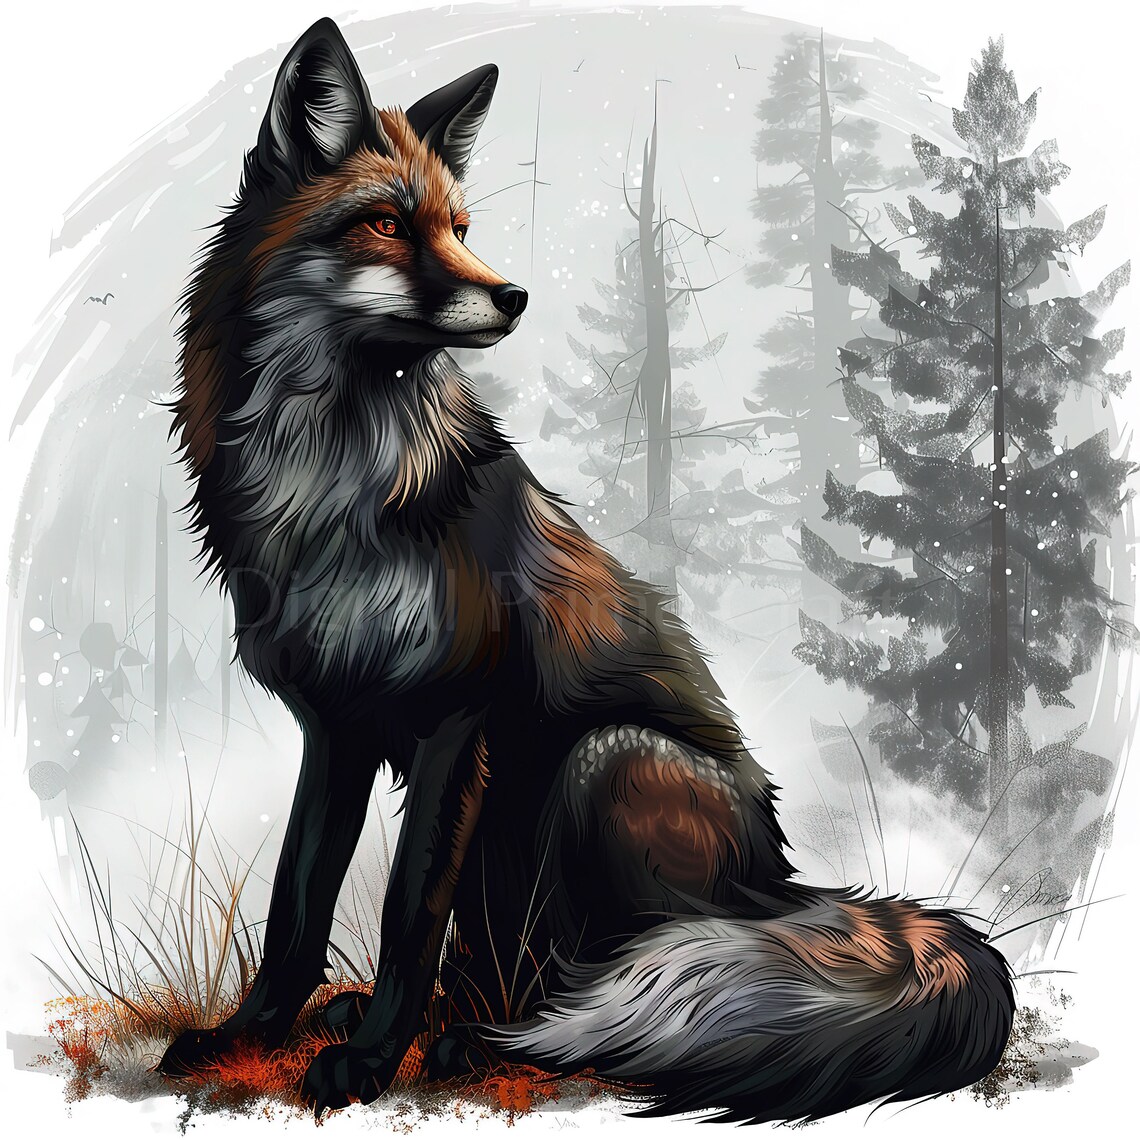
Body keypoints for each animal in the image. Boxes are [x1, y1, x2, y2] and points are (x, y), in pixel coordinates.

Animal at [156, 16, 1014, 1124]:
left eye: (461, 225)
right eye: (388, 225)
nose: (513, 295)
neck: (330, 489)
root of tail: (781, 885)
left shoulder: (456, 723)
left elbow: (402, 917)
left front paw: (370, 1059)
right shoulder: (335, 729)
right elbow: (295, 911)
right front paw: (247, 1036)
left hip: (595, 767)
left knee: (605, 974)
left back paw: (481, 1041)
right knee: (513, 965)